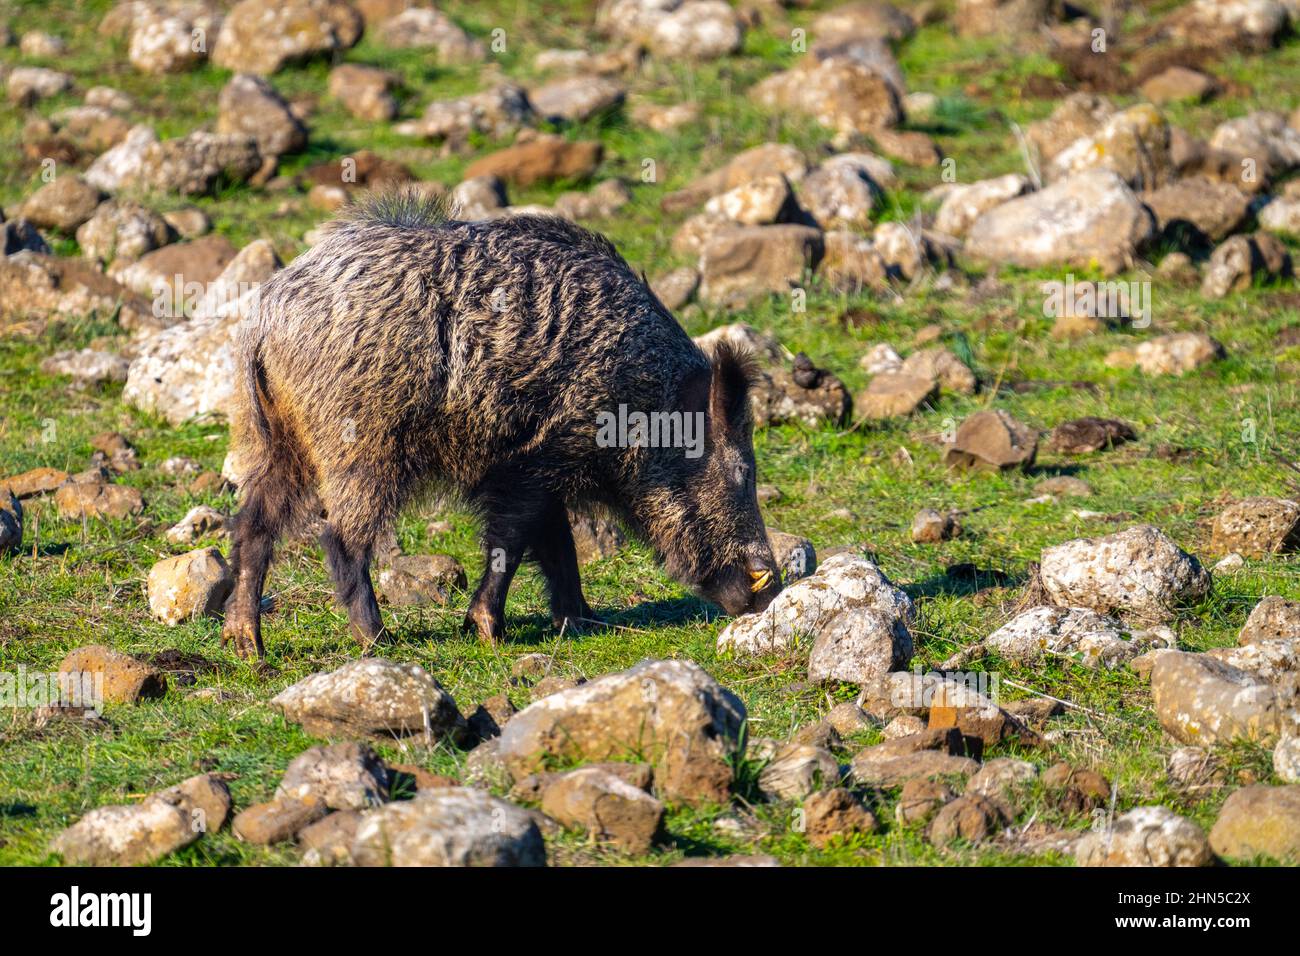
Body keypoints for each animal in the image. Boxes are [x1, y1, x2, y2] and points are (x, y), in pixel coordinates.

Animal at [221, 189, 781, 659]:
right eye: (742, 472)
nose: (772, 588)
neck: (642, 399)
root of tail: (265, 320)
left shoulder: (546, 467)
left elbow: (556, 544)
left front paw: (583, 621)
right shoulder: (532, 462)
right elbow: (511, 542)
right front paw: (488, 630)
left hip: (275, 441)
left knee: (252, 525)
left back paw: (247, 646)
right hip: (360, 444)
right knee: (338, 536)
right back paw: (379, 640)